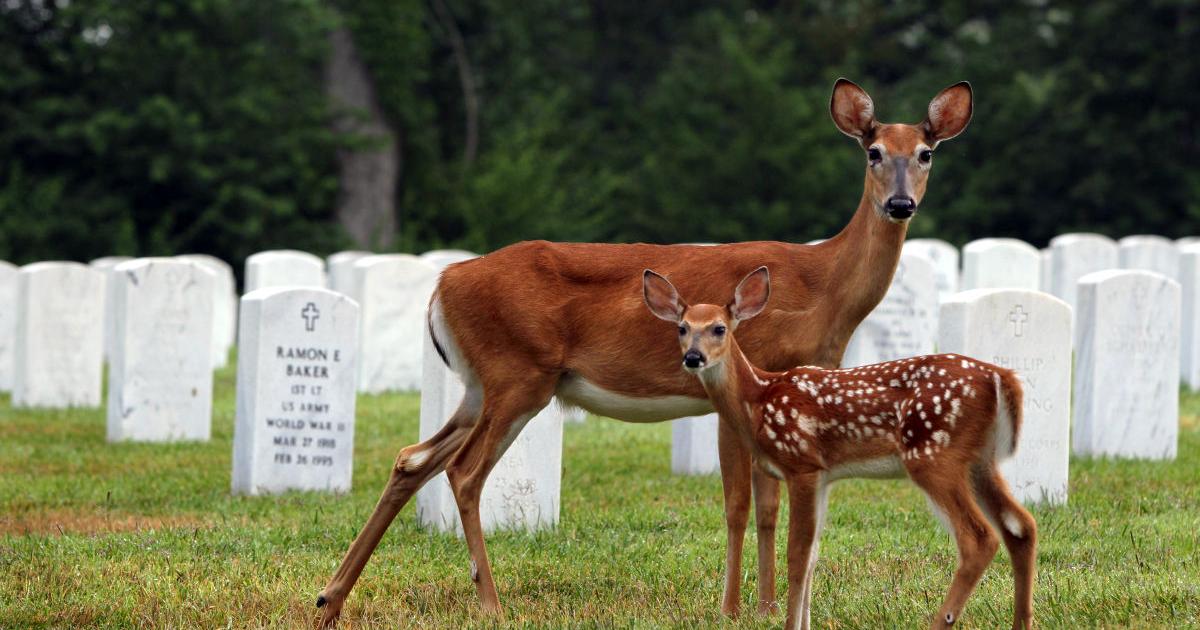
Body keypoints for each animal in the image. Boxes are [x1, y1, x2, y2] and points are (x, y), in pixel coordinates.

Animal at [314, 78, 974, 628]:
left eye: (925, 153)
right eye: (873, 152)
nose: (900, 204)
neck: (824, 287)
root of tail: (441, 285)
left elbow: (767, 504)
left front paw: (763, 607)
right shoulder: (744, 383)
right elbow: (739, 504)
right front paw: (734, 609)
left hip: (482, 385)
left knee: (412, 459)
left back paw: (330, 598)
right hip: (517, 375)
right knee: (464, 472)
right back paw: (491, 603)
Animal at [642, 266, 1037, 630]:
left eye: (719, 328)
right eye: (682, 328)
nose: (693, 357)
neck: (757, 400)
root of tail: (1001, 378)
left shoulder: (801, 462)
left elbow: (797, 554)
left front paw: (791, 625)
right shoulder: (823, 475)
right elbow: (813, 555)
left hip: (934, 454)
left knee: (979, 538)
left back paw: (941, 620)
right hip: (980, 461)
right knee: (1022, 526)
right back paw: (1021, 622)